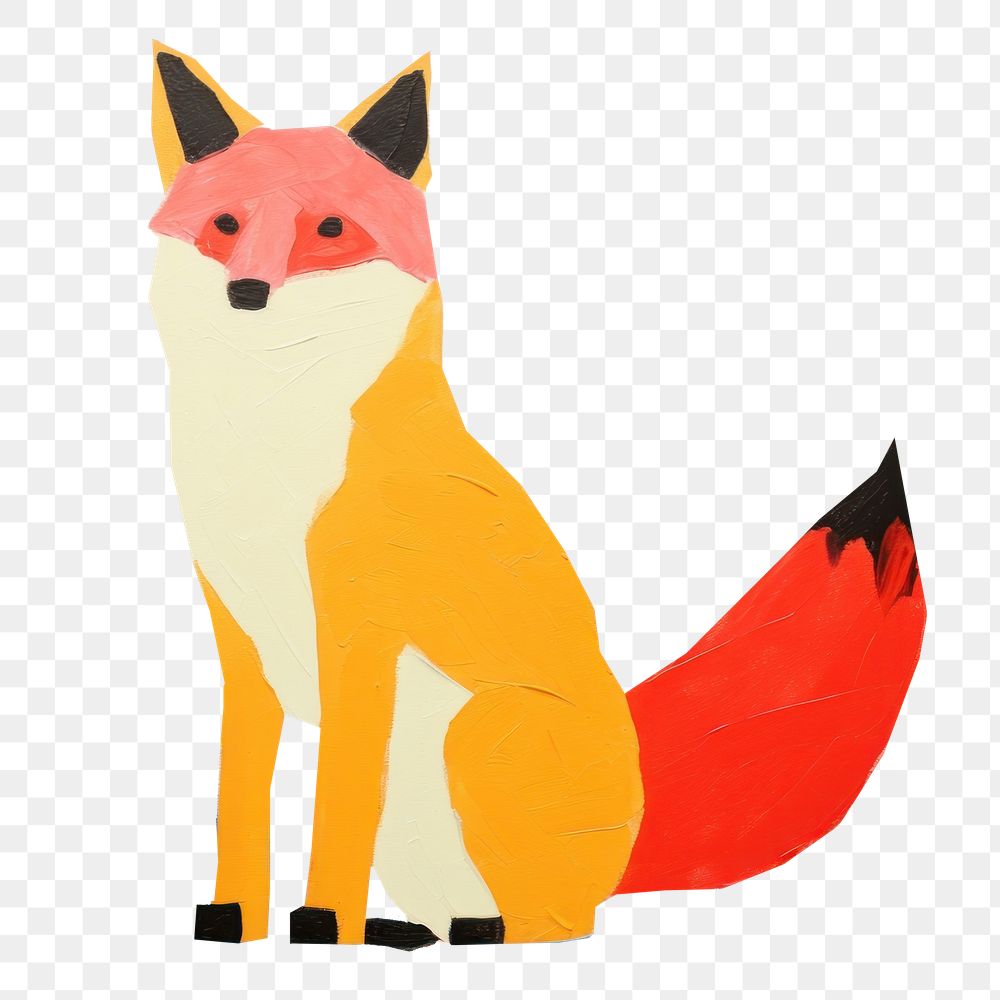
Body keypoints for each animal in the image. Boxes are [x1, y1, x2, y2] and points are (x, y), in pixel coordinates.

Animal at [147, 43, 927, 948]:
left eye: (330, 230)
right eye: (225, 226)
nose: (248, 292)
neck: (266, 446)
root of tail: (629, 829)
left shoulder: (361, 636)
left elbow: (339, 803)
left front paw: (320, 923)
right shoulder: (242, 641)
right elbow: (240, 798)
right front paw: (233, 920)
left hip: (481, 731)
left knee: (548, 923)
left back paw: (463, 934)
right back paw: (405, 931)